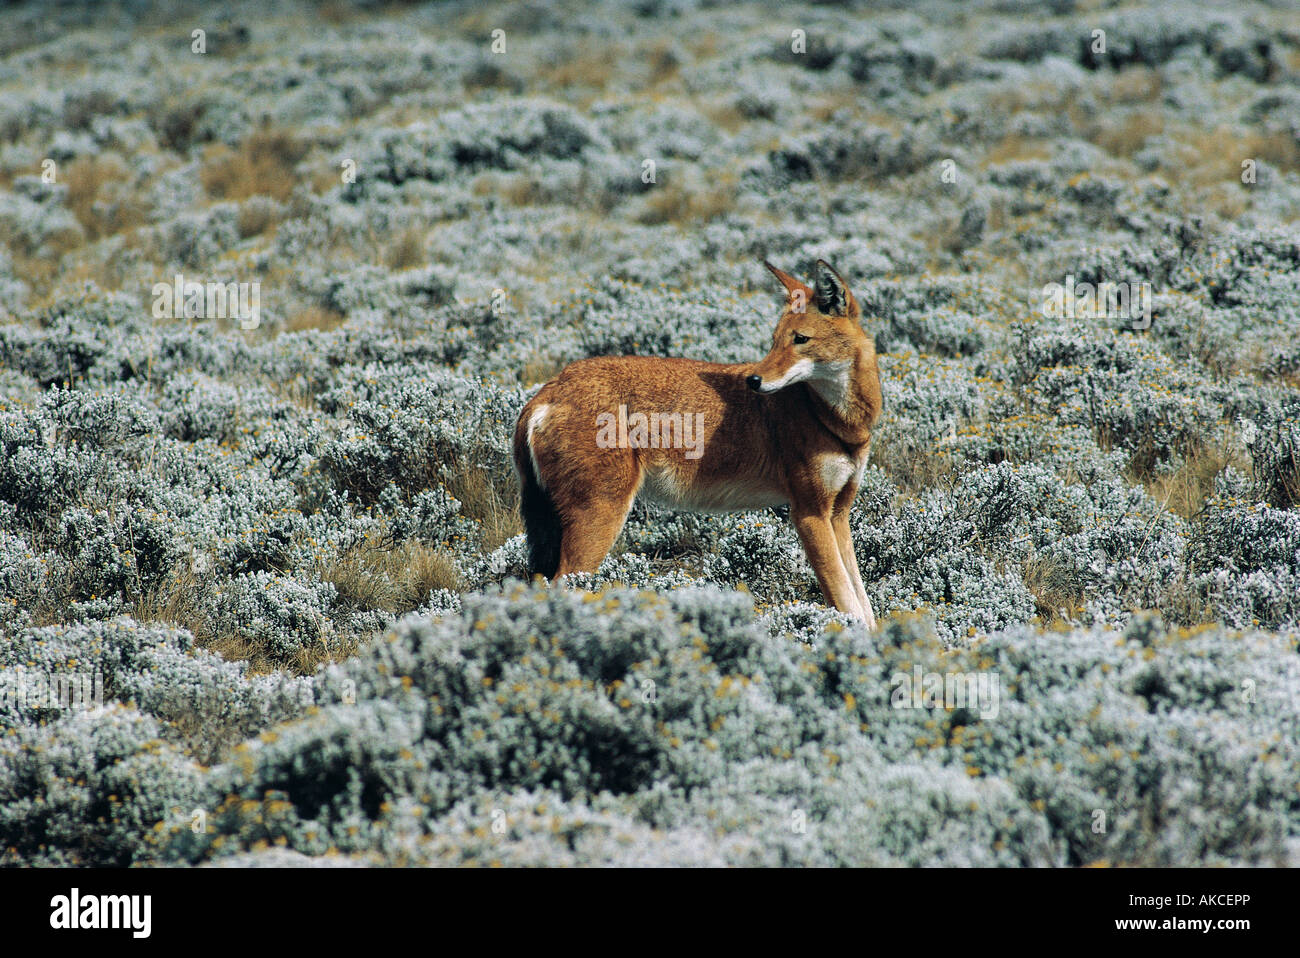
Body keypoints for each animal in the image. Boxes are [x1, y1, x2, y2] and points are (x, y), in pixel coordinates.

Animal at [512, 260, 884, 626]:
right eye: (775, 341)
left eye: (800, 340)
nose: (754, 381)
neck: (835, 420)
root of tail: (548, 390)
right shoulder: (808, 514)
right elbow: (848, 602)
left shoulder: (837, 513)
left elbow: (862, 602)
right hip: (601, 521)